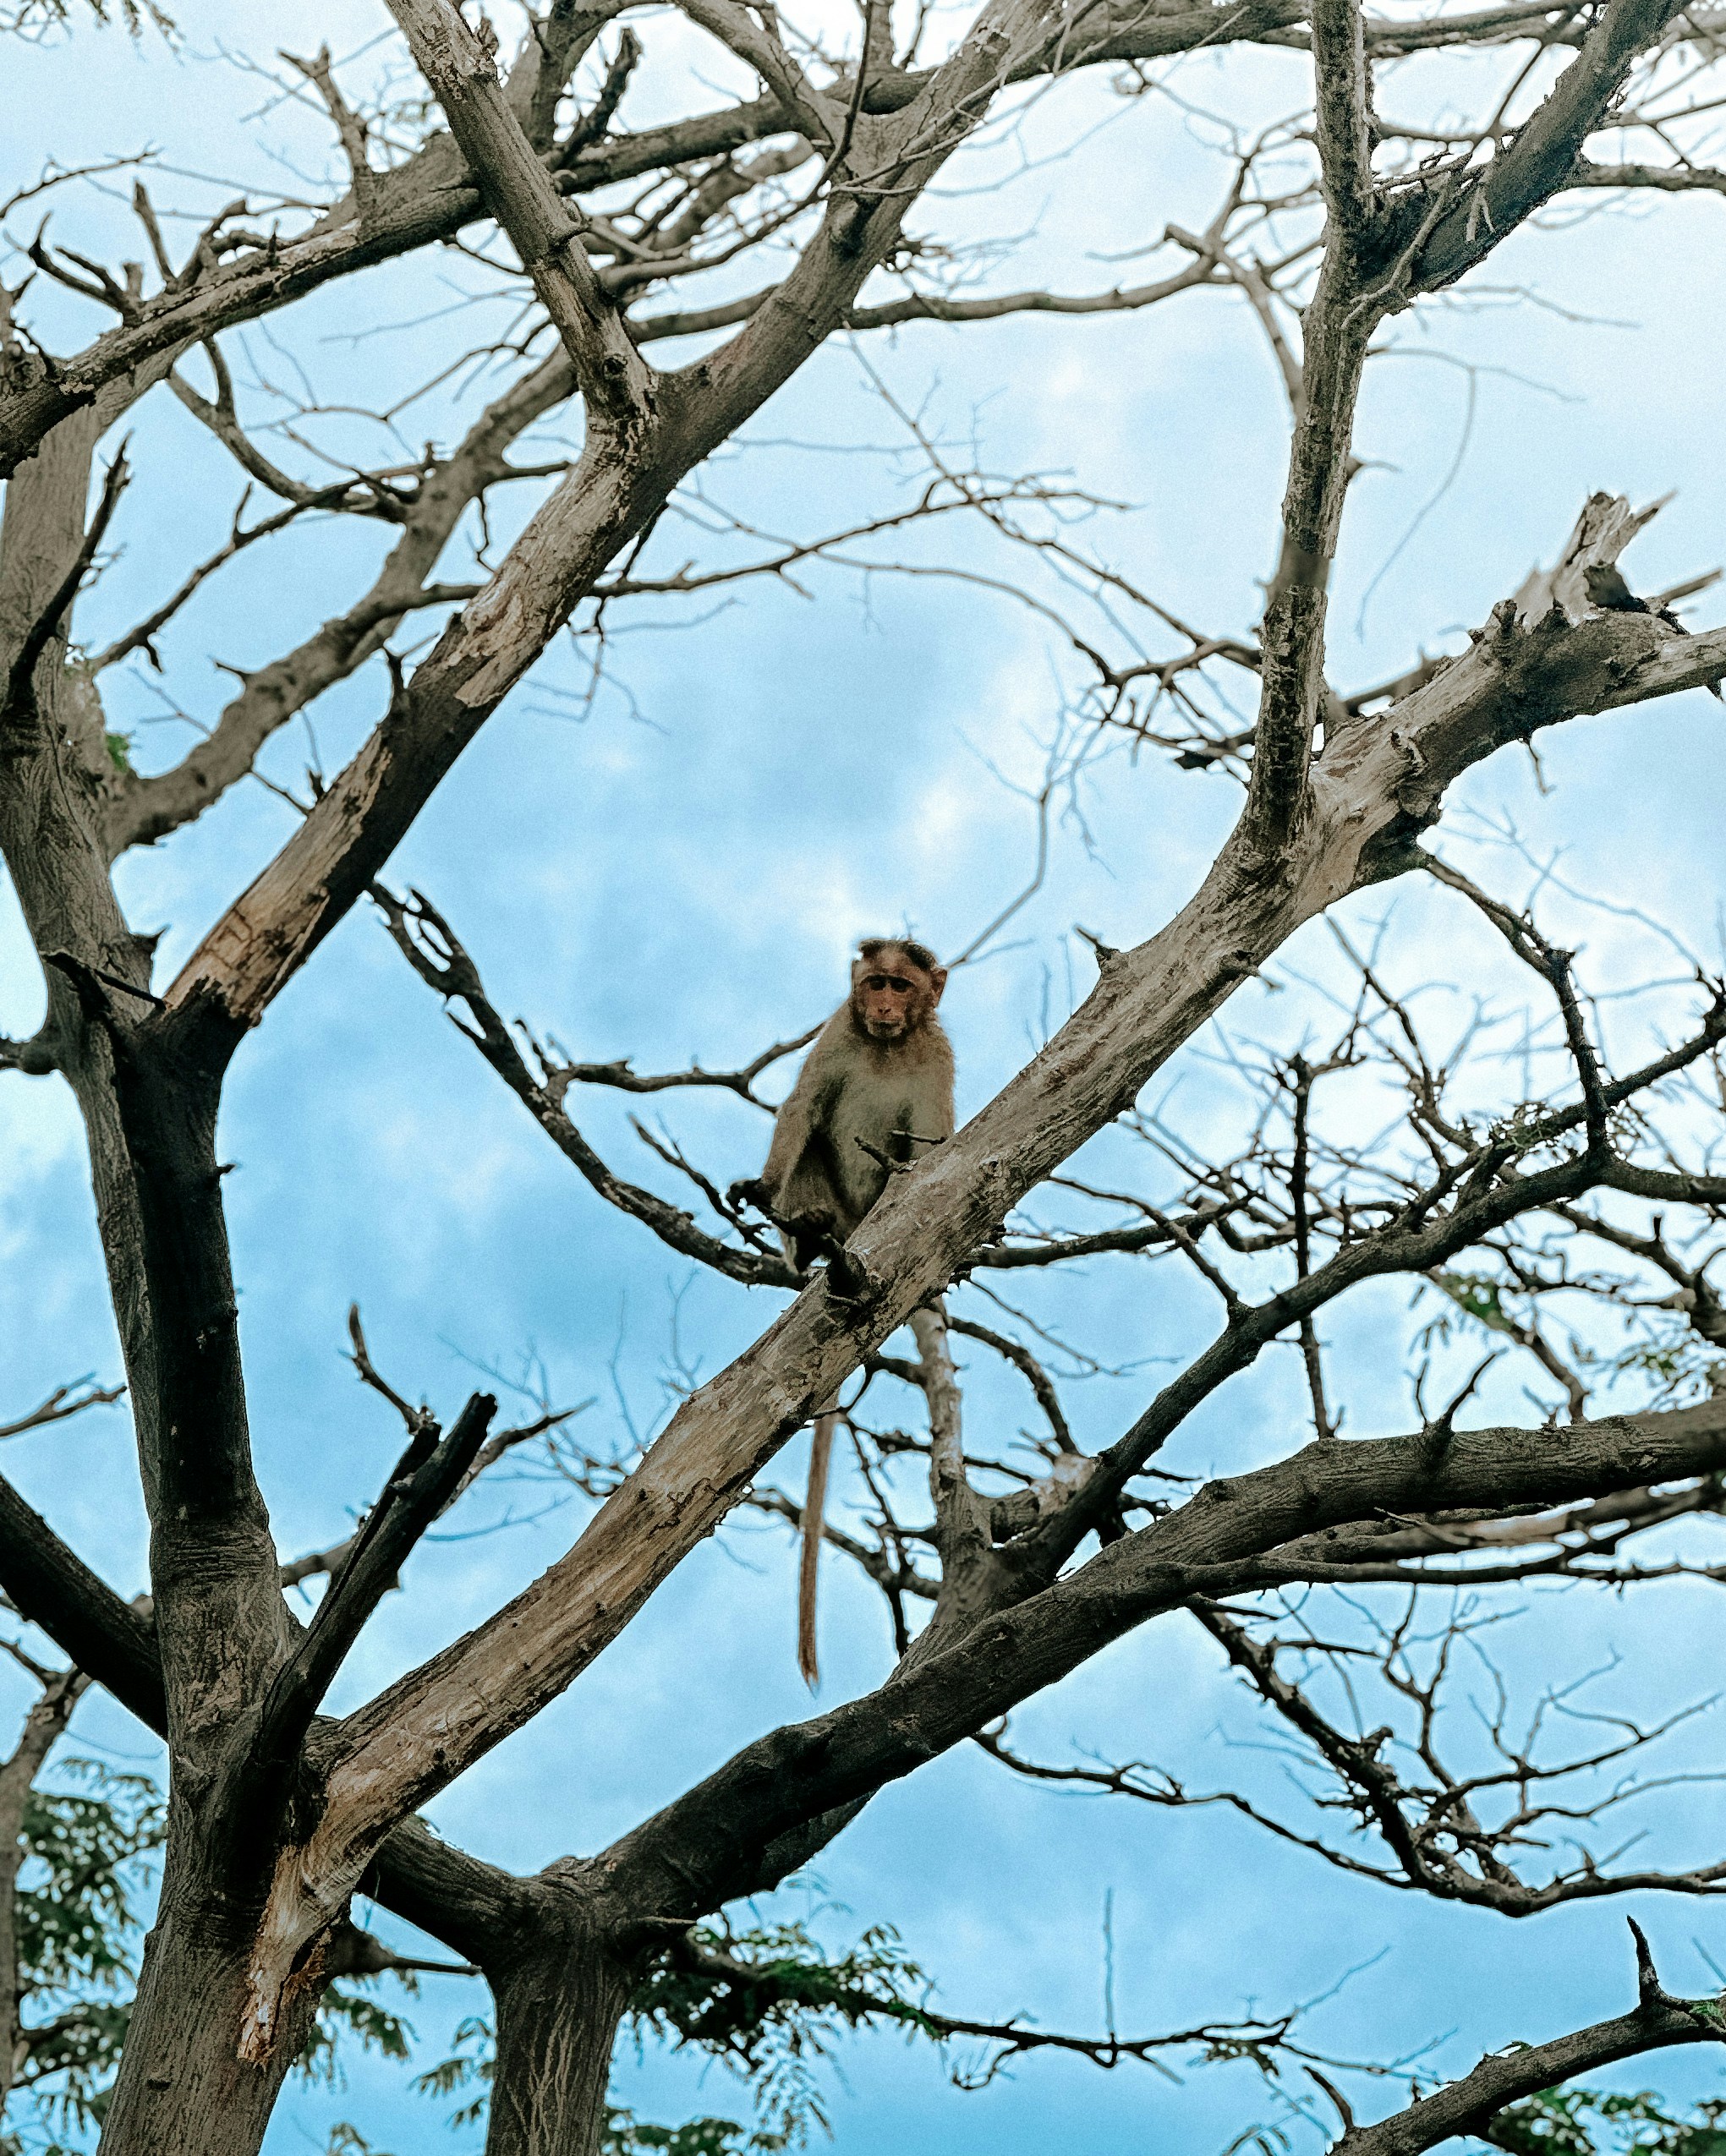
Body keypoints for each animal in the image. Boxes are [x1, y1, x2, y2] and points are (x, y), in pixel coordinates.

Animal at [729, 938, 955, 1686]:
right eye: (875, 983)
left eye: (901, 987)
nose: (881, 1006)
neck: (887, 1047)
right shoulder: (836, 1035)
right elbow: (802, 1108)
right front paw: (764, 1187)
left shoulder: (936, 1058)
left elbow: (932, 1145)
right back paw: (806, 1234)